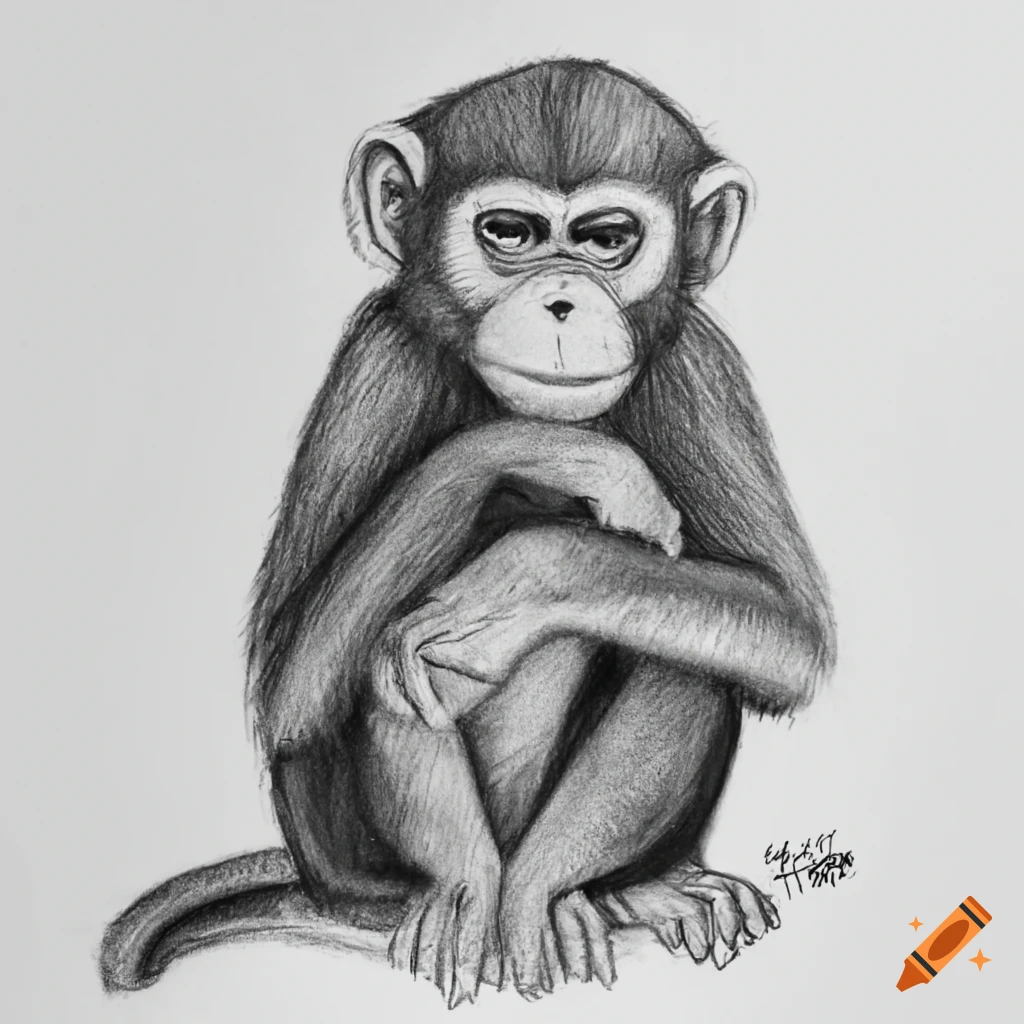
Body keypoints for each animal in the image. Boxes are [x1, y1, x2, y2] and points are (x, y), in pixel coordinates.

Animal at [100, 58, 836, 1007]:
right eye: (510, 233)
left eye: (606, 240)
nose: (561, 300)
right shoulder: (376, 361)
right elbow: (292, 676)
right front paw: (561, 460)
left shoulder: (704, 366)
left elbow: (786, 622)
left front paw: (530, 577)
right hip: (342, 862)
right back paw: (454, 891)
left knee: (682, 625)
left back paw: (603, 888)